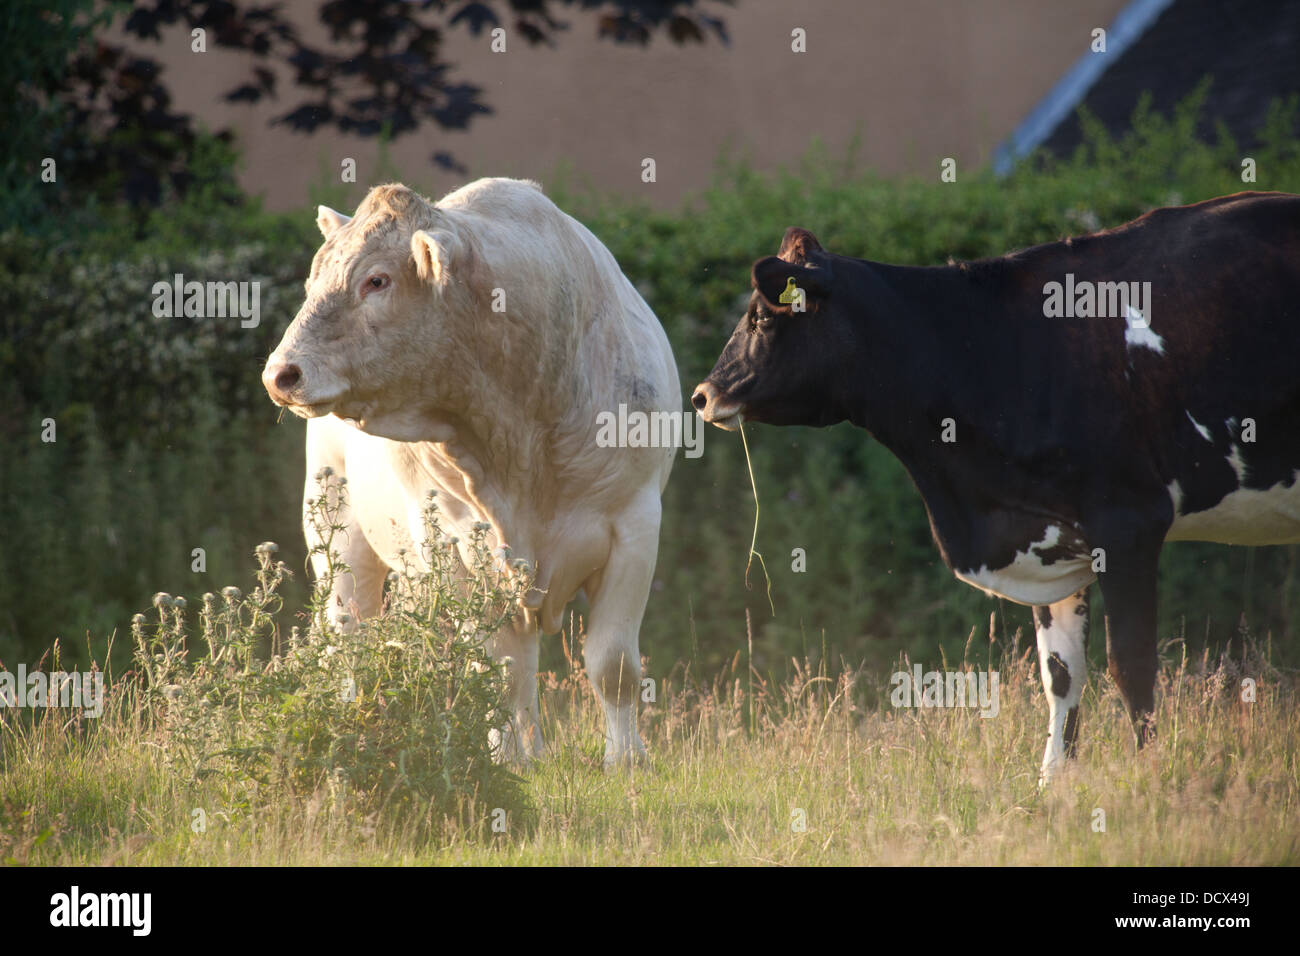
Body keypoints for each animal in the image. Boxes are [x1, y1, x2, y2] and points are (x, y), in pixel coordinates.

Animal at [261, 178, 679, 766]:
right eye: (313, 279)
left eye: (376, 280)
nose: (280, 373)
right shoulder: (459, 546)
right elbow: (494, 669)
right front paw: (504, 762)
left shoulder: (635, 525)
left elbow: (612, 663)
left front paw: (625, 761)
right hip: (337, 534)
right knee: (352, 636)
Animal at [691, 191, 1300, 783]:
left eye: (760, 317)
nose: (702, 395)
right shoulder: (1051, 538)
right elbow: (1060, 674)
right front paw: (1051, 789)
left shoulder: (1128, 522)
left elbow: (1132, 667)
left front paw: (1147, 778)